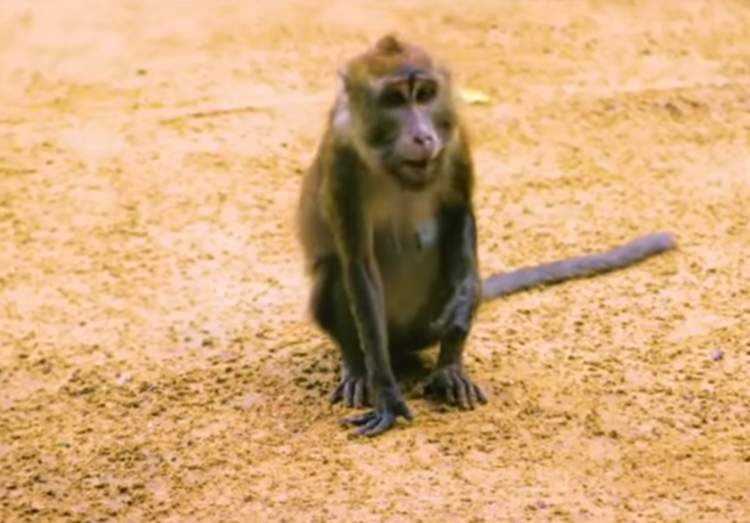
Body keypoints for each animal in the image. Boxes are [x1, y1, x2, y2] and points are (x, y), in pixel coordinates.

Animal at [295, 34, 676, 438]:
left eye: (425, 94)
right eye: (395, 100)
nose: (423, 136)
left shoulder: (455, 138)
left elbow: (458, 215)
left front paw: (456, 332)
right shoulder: (341, 158)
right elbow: (357, 262)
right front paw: (386, 391)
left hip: (424, 324)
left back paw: (449, 367)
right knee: (334, 272)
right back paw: (356, 366)